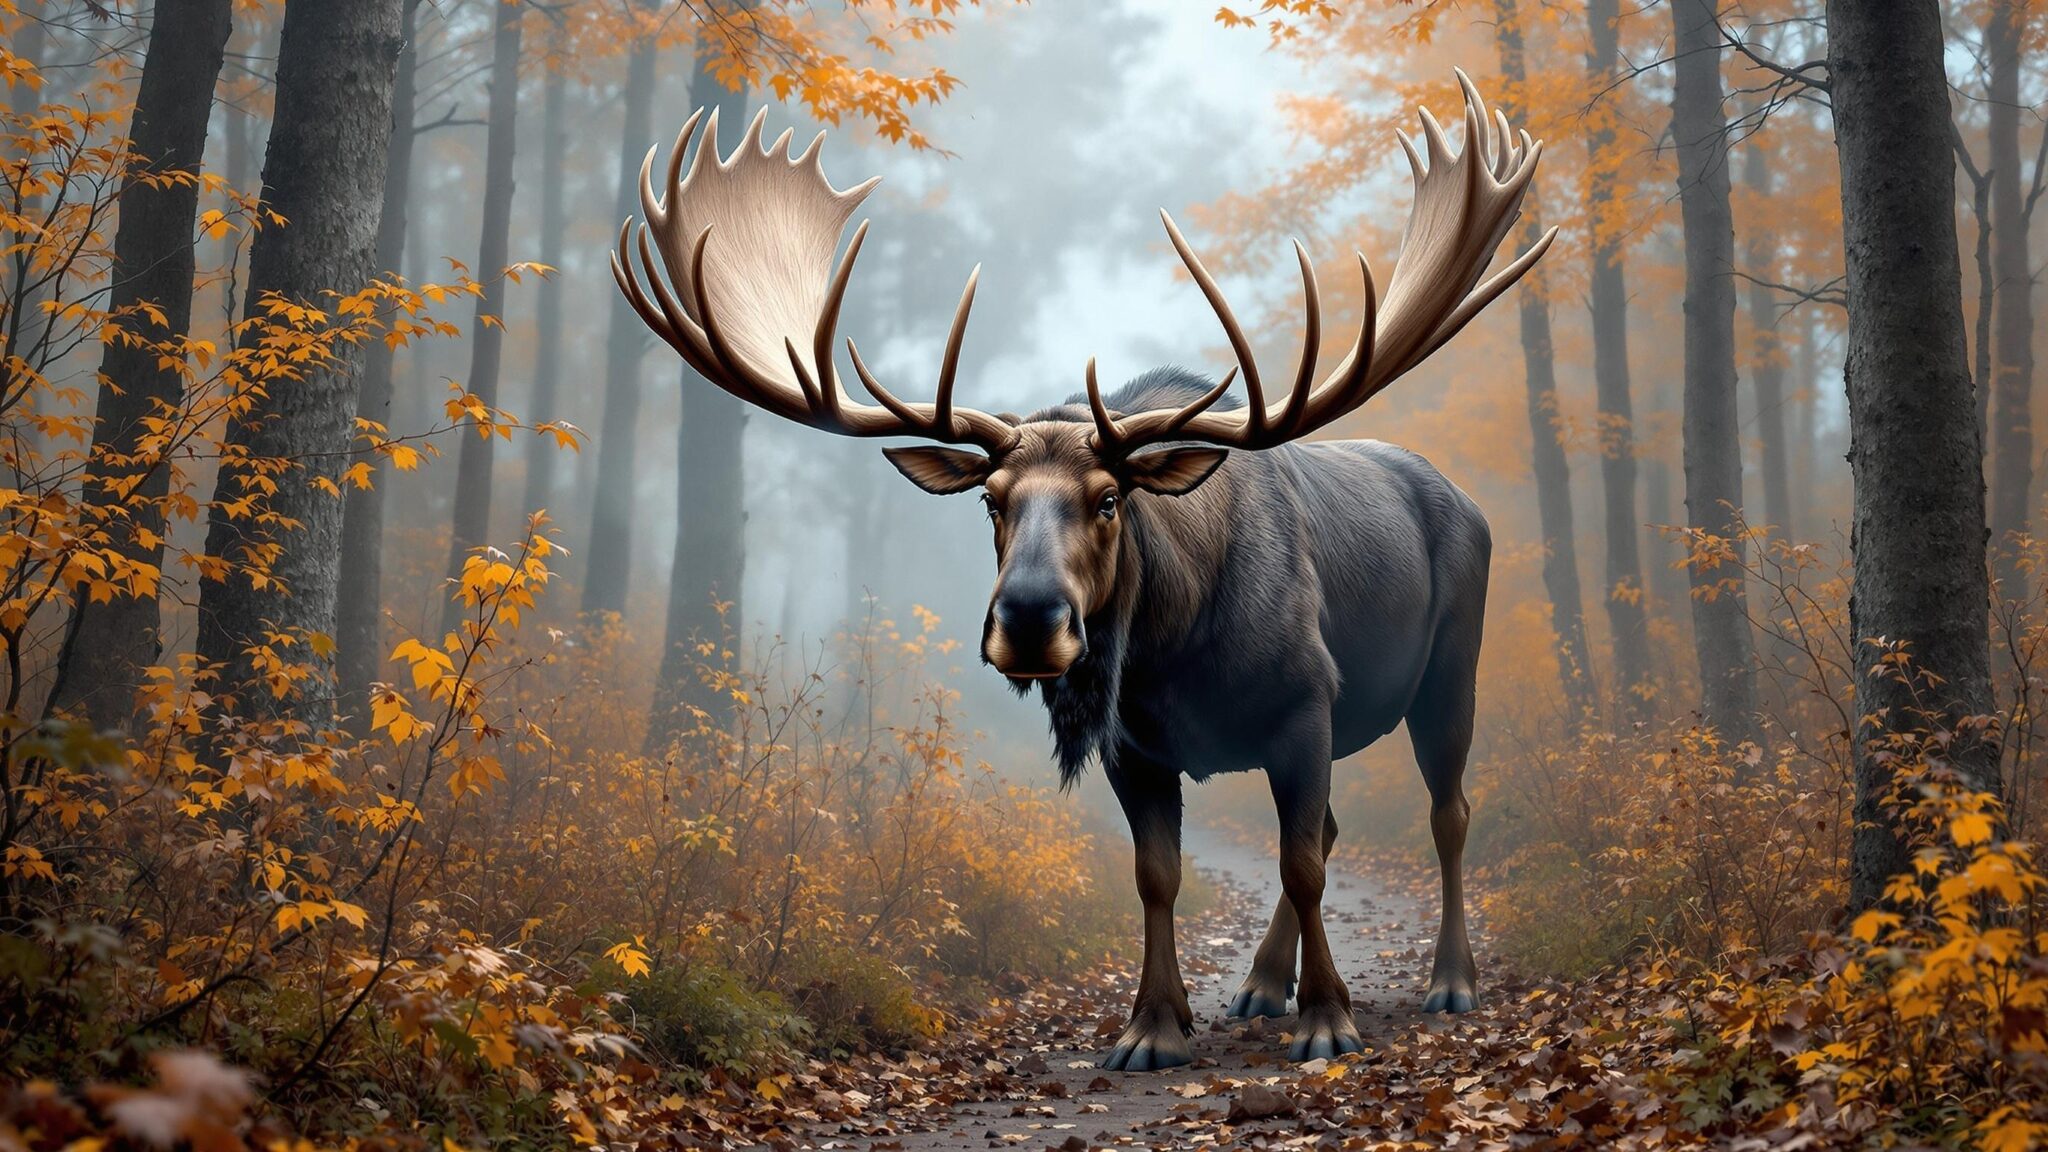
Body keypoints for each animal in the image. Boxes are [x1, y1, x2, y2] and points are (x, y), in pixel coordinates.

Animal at [612, 71, 1553, 1070]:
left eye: (1109, 499)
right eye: (992, 501)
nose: (1029, 617)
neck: (1178, 652)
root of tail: (1469, 501)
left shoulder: (1306, 703)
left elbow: (1300, 863)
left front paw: (1328, 1020)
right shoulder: (1132, 745)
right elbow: (1158, 876)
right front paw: (1153, 1027)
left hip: (1452, 668)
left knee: (1448, 813)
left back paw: (1449, 982)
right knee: (1342, 827)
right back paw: (1261, 985)